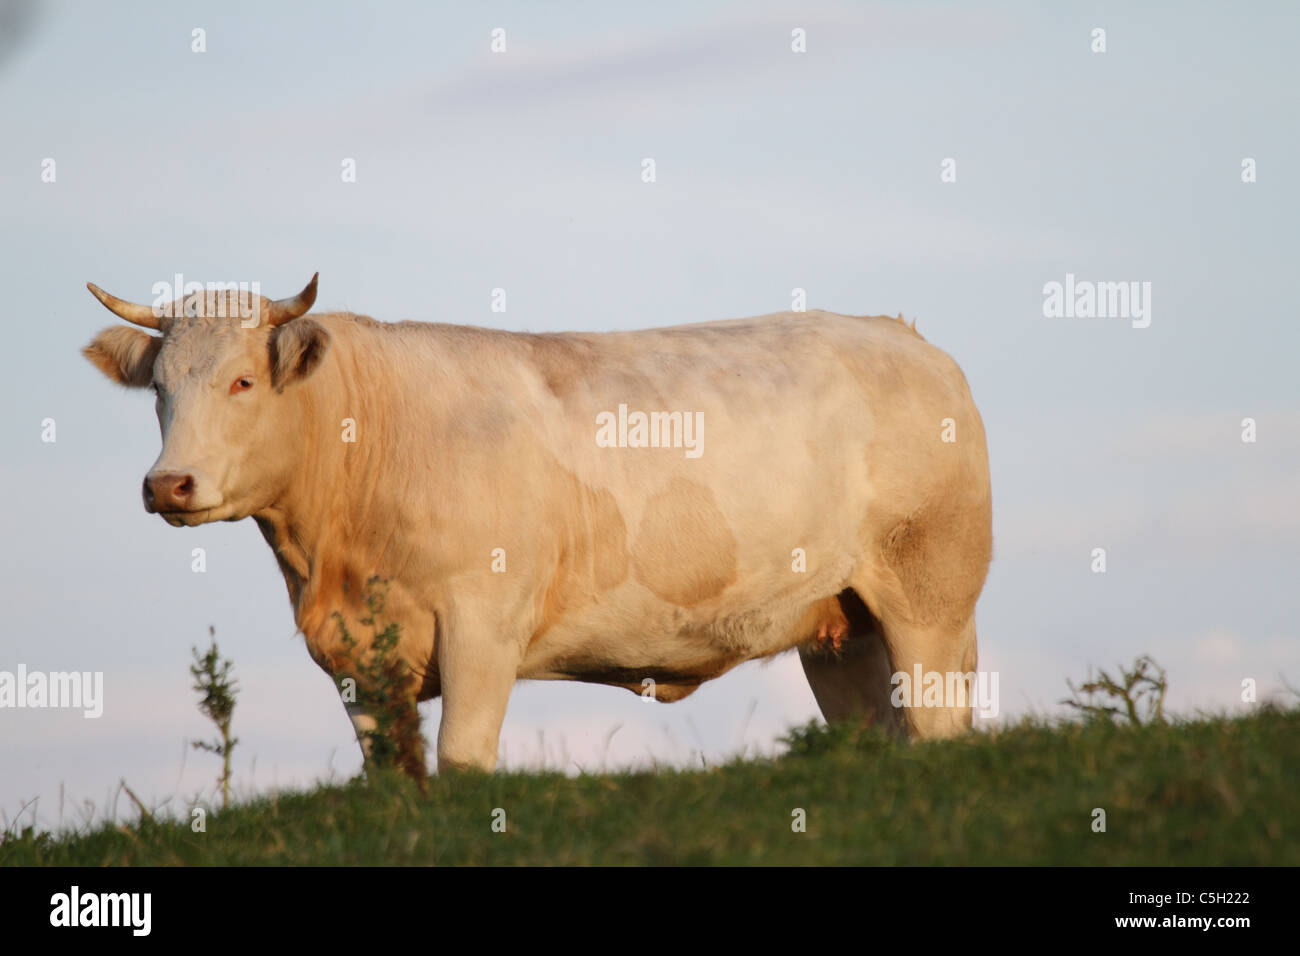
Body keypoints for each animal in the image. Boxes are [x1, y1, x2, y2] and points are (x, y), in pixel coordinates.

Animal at [82, 275, 992, 776]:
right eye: (160, 387)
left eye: (242, 381)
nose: (168, 484)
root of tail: (908, 340)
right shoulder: (353, 658)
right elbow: (389, 772)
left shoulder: (484, 625)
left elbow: (462, 759)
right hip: (839, 629)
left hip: (930, 597)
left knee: (939, 726)